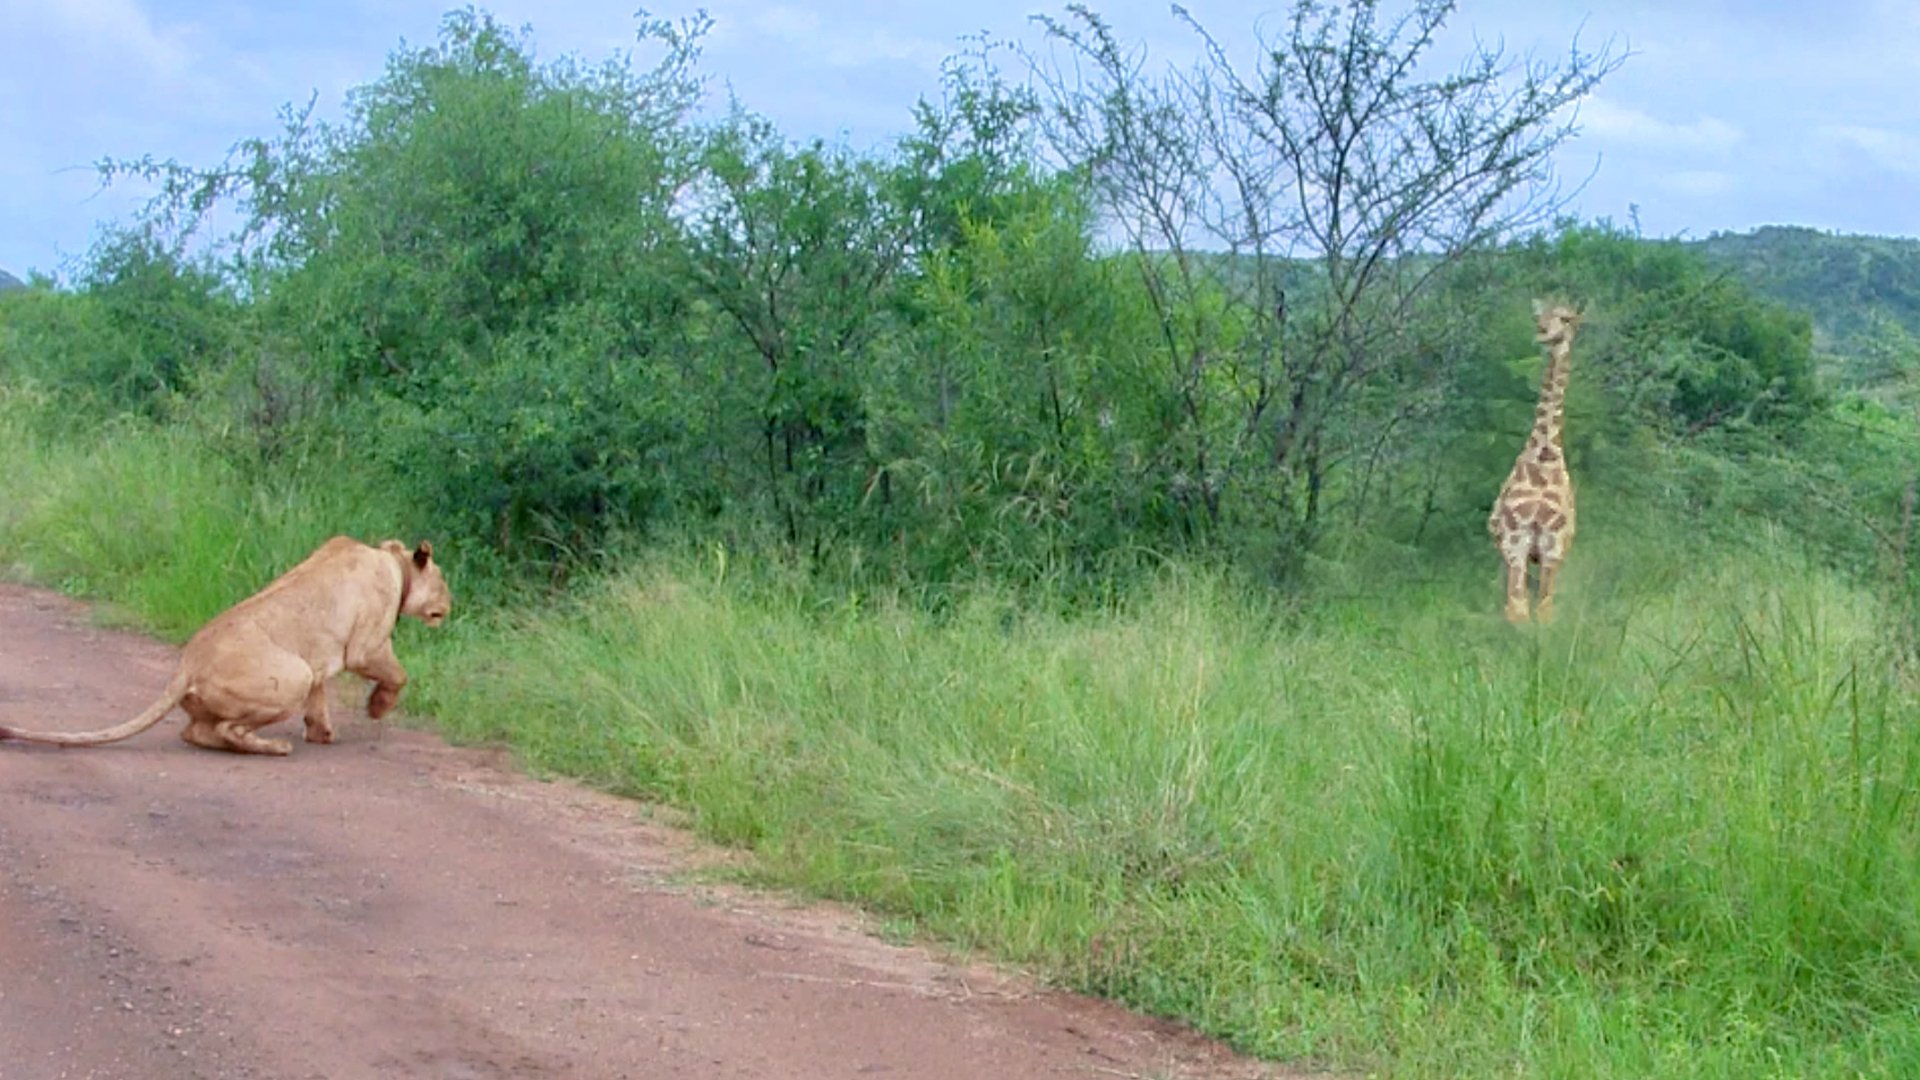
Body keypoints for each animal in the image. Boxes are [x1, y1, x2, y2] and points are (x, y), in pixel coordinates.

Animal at [0, 536, 451, 755]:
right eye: (443, 580)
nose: (451, 603)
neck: (392, 561)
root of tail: (186, 665)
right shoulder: (366, 645)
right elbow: (397, 674)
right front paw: (377, 708)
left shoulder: (318, 662)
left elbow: (320, 700)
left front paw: (322, 733)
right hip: (291, 675)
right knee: (227, 729)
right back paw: (272, 747)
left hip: (293, 672)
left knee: (195, 732)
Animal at [1489, 298, 1584, 624]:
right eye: (1539, 317)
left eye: (1566, 319)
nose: (1543, 332)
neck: (1544, 454)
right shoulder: (1524, 545)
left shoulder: (1547, 549)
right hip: (1521, 549)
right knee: (1521, 605)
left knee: (1528, 606)